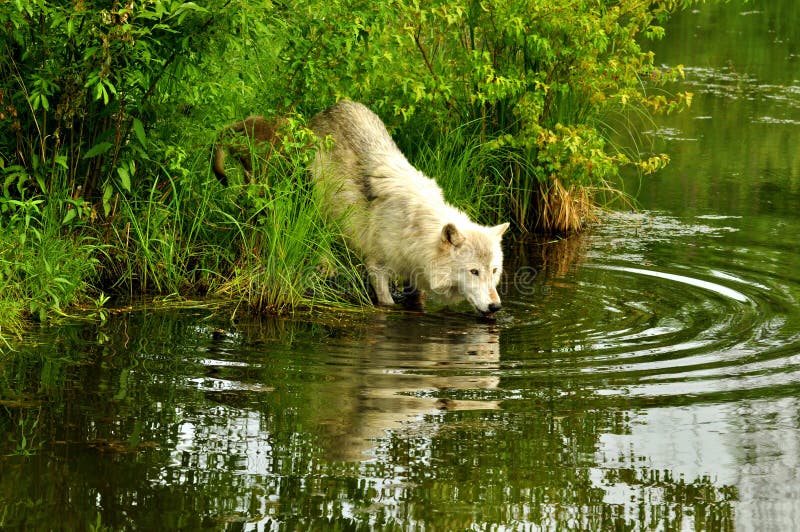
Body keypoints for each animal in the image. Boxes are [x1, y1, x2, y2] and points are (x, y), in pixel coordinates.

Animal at [310, 100, 509, 316]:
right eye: (474, 271)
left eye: (494, 270)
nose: (496, 306)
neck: (413, 230)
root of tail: (336, 106)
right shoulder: (377, 265)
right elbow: (387, 302)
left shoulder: (416, 274)